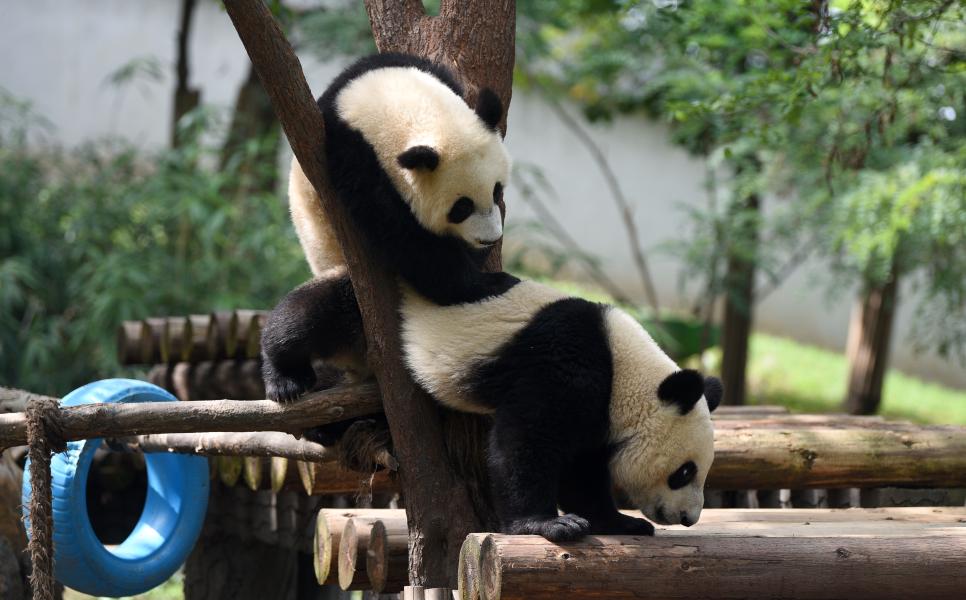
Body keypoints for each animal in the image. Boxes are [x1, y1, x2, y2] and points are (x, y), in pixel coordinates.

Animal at [262, 53, 722, 542]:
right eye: (685, 472)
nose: (689, 517)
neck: (623, 365)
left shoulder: (597, 411)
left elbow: (582, 469)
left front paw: (617, 521)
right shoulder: (565, 363)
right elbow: (525, 442)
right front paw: (547, 523)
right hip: (361, 305)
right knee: (309, 317)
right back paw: (288, 381)